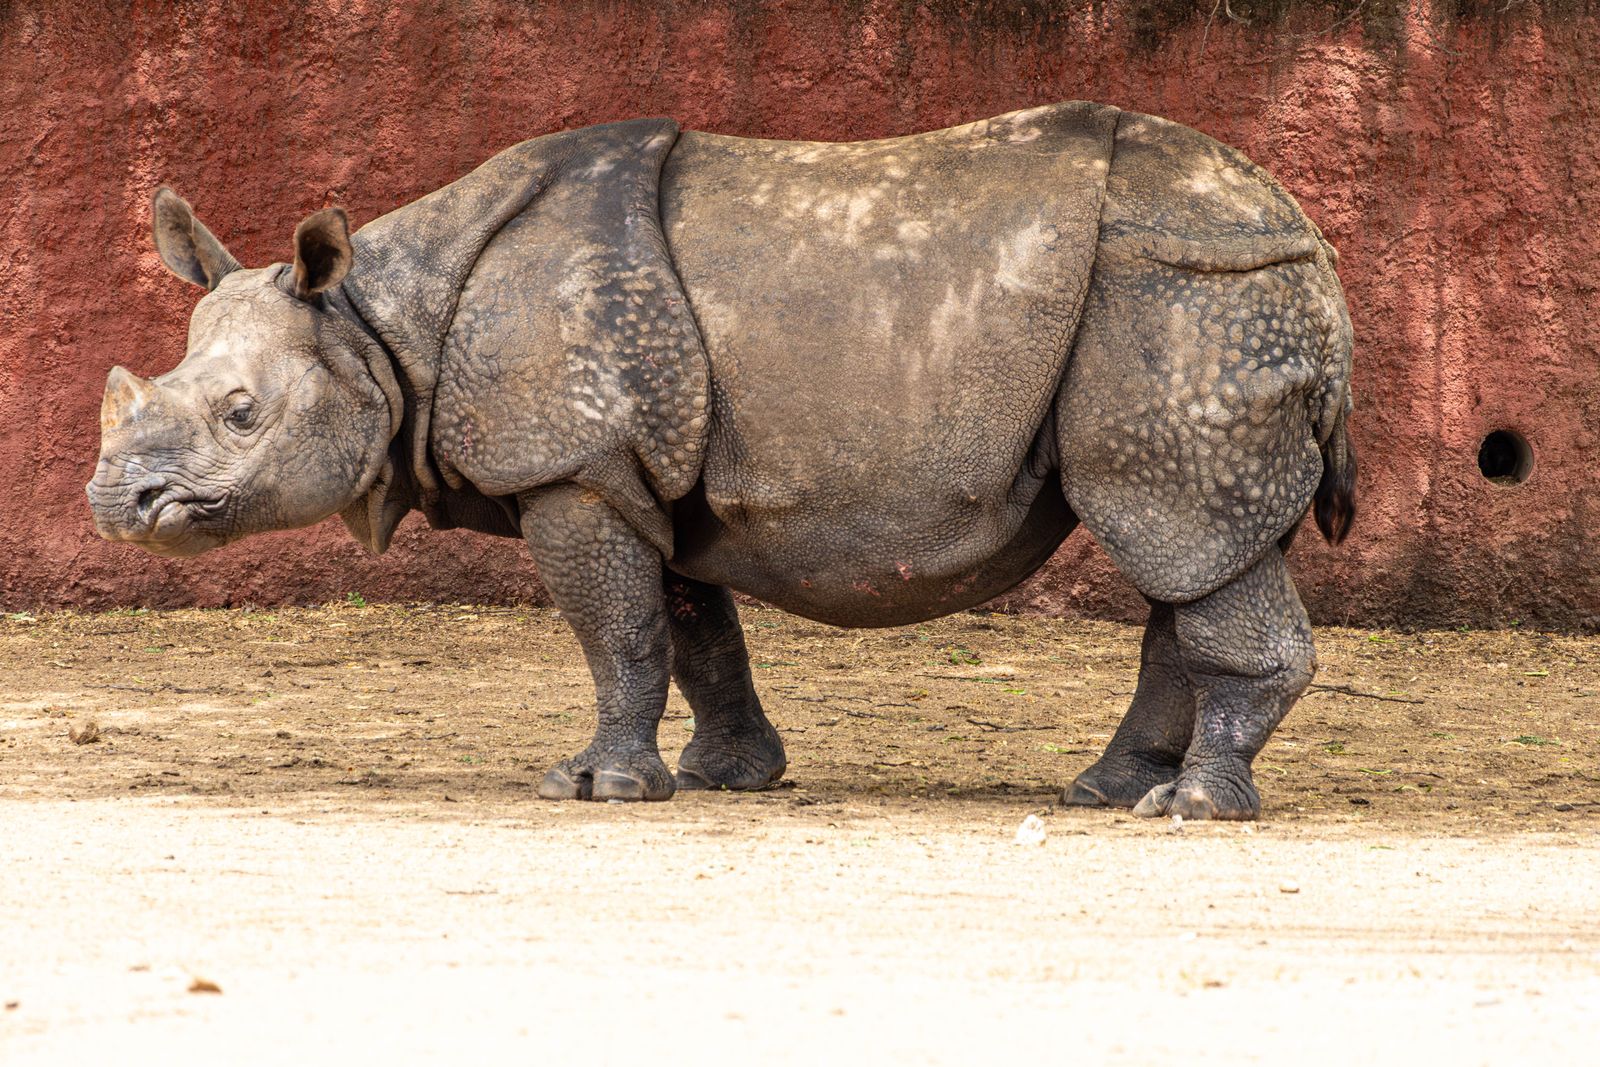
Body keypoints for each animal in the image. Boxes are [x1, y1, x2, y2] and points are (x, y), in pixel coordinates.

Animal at [88, 102, 1355, 820]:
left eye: (242, 413)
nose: (113, 501)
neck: (370, 319)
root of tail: (1312, 243)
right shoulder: (636, 471)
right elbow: (690, 629)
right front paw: (722, 776)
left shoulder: (571, 460)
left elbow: (615, 630)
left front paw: (594, 789)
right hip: (1195, 291)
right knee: (1187, 551)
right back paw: (1109, 792)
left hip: (1184, 292)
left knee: (1174, 526)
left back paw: (1191, 807)